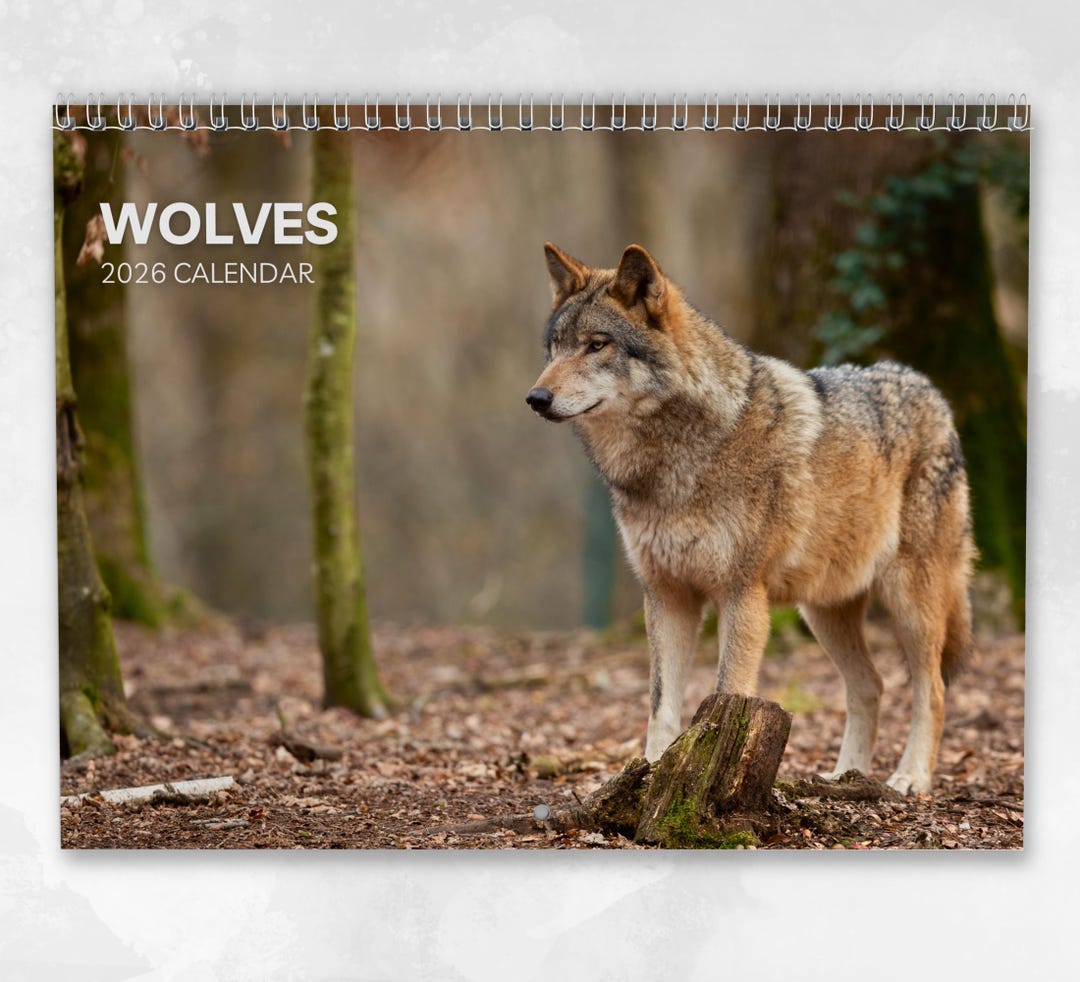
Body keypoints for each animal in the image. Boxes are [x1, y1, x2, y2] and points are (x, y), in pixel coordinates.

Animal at [526, 243, 975, 794]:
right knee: (871, 684)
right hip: (823, 611)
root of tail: (929, 388)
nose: (536, 398)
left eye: (596, 345)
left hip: (910, 602)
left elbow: (725, 695)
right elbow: (660, 707)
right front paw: (651, 776)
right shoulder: (667, 596)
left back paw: (910, 777)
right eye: (555, 348)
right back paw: (844, 776)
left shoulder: (741, 596)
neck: (673, 463)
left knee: (932, 690)